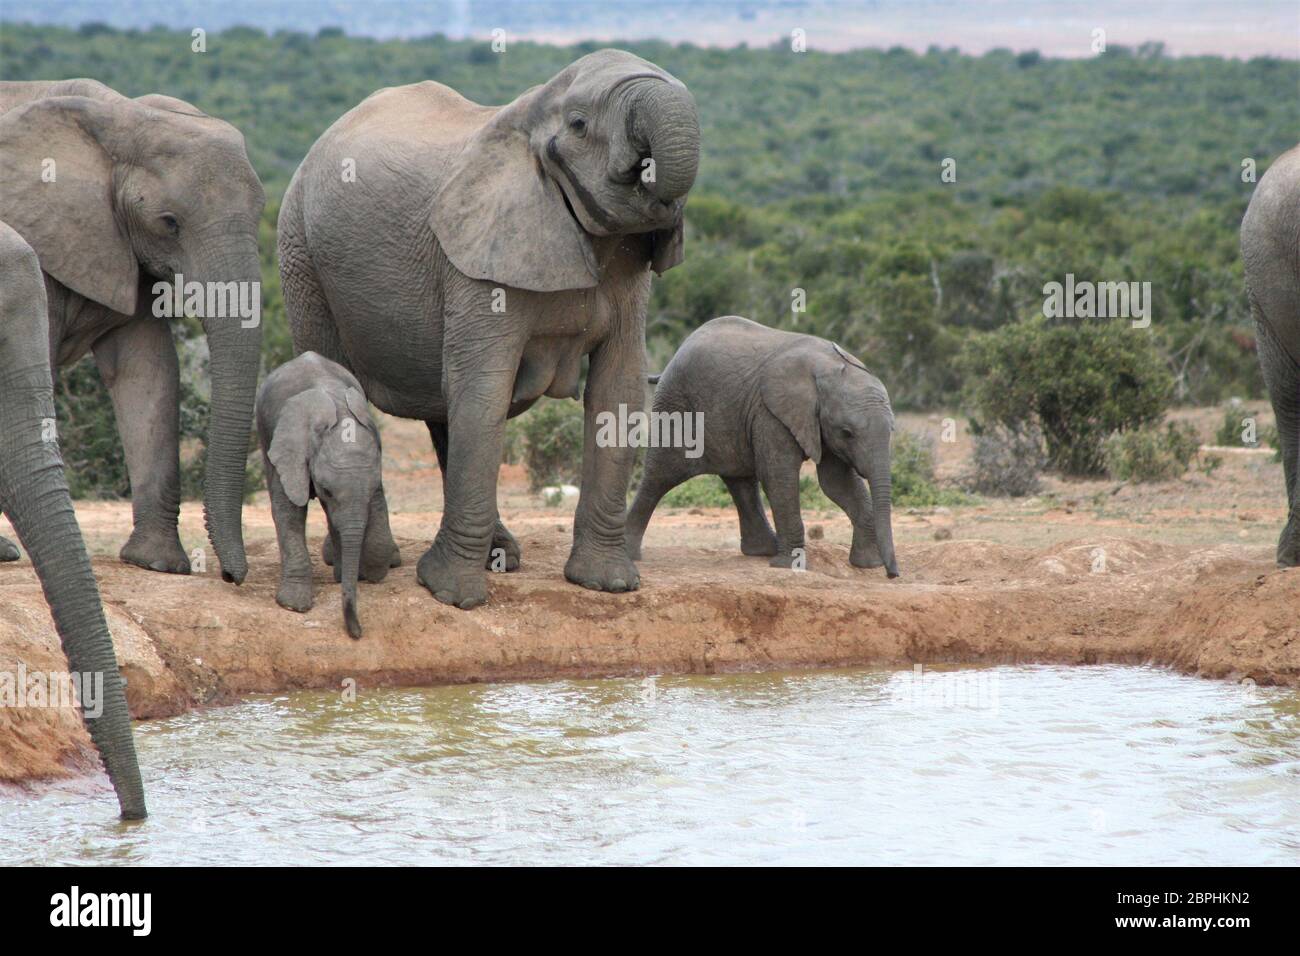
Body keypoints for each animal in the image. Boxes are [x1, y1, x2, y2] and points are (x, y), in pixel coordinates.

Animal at [0, 79, 266, 583]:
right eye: (169, 222)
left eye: (262, 214)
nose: (231, 575)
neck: (120, 117)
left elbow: (147, 370)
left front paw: (157, 562)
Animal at [256, 351, 399, 639]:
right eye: (328, 491)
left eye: (371, 490)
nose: (357, 633)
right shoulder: (289, 449)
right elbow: (288, 509)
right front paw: (293, 605)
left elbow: (376, 507)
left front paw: (368, 572)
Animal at [278, 49, 699, 609]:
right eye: (580, 124)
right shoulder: (477, 260)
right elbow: (484, 390)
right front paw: (453, 595)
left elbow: (619, 389)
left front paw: (608, 584)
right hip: (301, 255)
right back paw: (370, 563)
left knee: (443, 411)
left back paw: (501, 556)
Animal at [626, 316, 900, 577]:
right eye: (847, 432)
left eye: (891, 430)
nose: (892, 574)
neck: (830, 367)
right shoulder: (771, 413)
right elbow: (779, 476)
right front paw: (789, 566)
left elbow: (836, 482)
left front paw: (867, 564)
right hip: (676, 407)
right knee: (661, 475)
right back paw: (630, 554)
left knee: (740, 480)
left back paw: (762, 551)